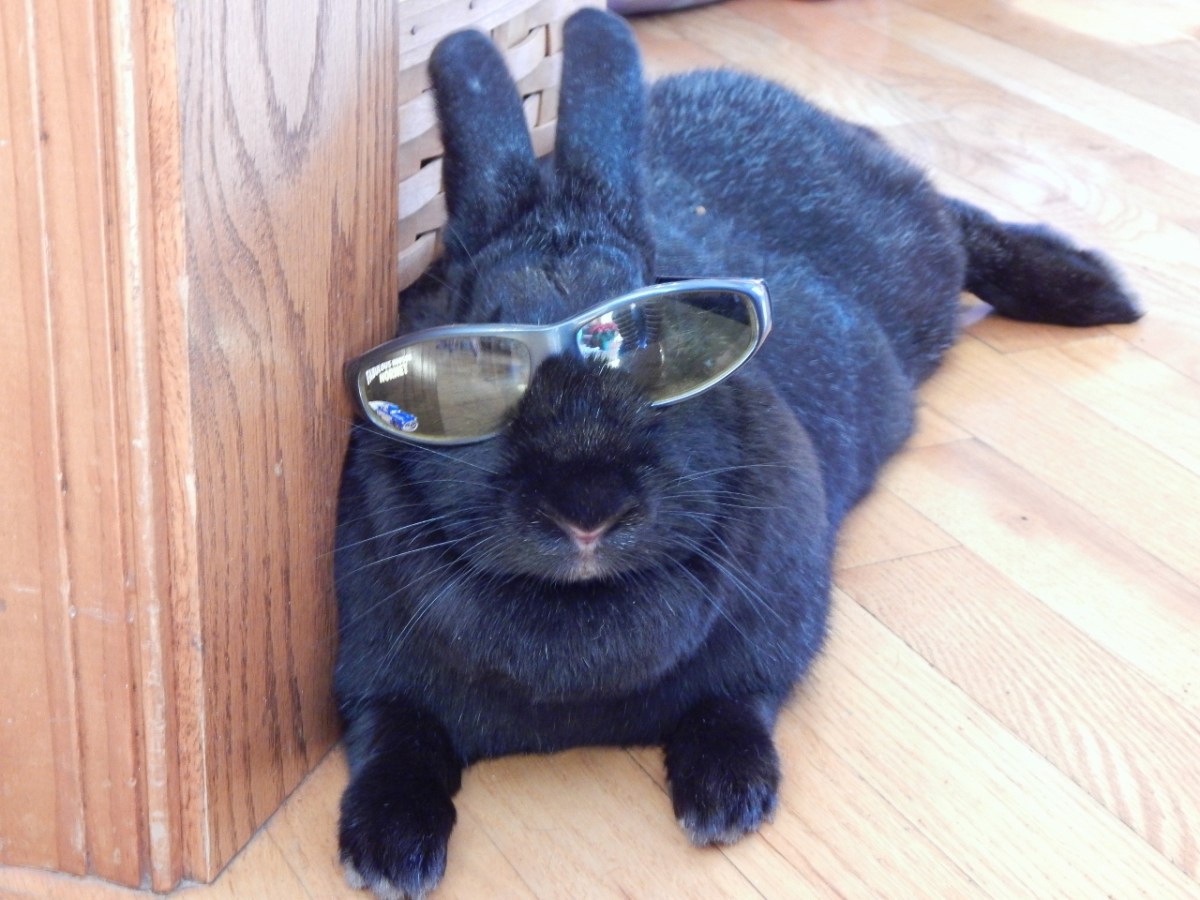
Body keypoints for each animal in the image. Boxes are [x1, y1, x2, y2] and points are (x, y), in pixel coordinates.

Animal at [333, 9, 1139, 898]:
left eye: (668, 349)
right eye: (470, 365)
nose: (588, 511)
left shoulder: (767, 646)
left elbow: (733, 708)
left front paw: (727, 801)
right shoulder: (371, 680)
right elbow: (392, 740)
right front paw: (388, 853)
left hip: (919, 256)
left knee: (960, 219)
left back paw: (1098, 289)